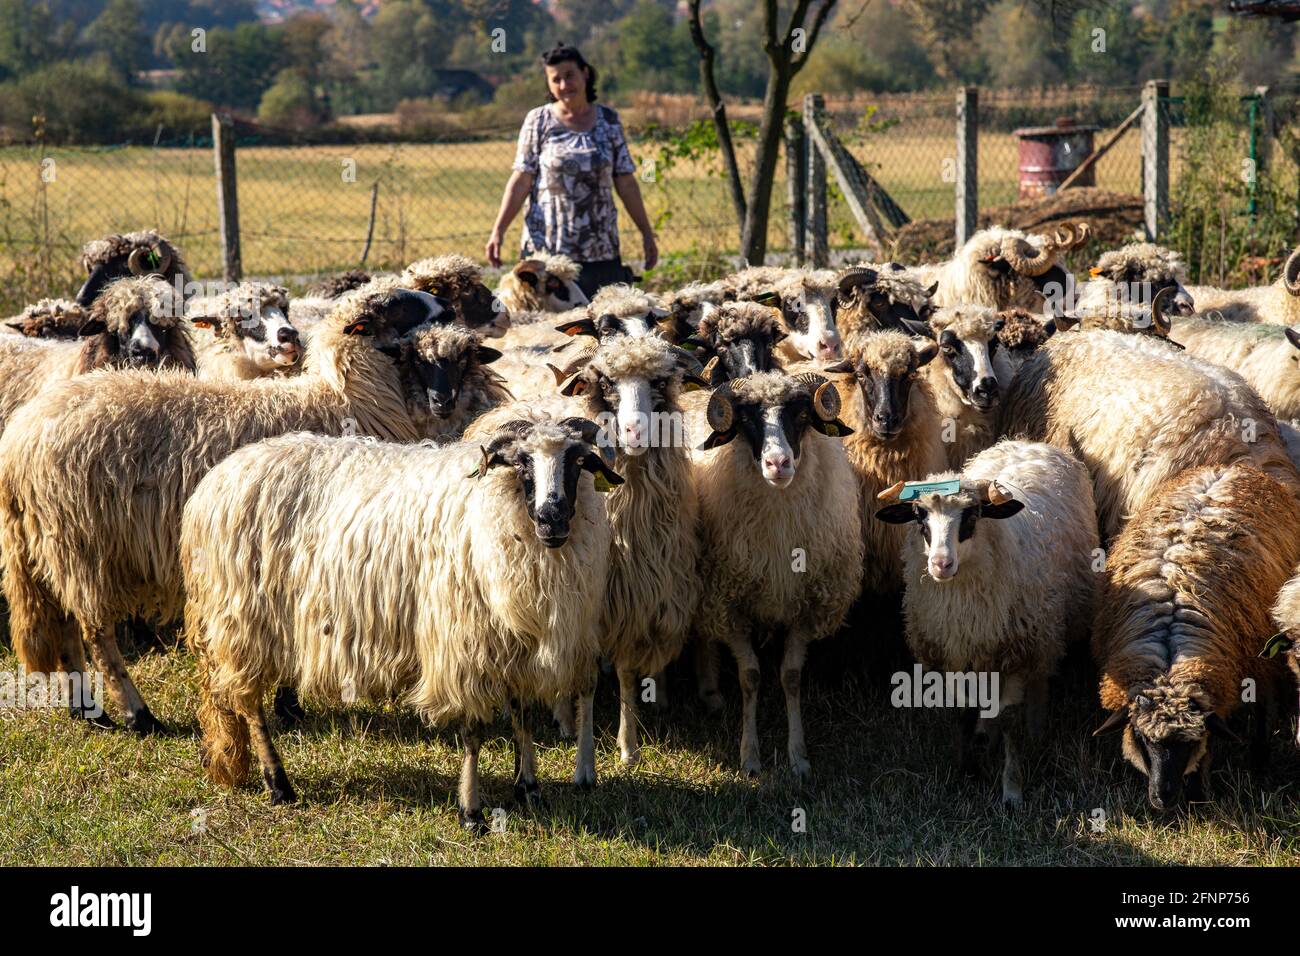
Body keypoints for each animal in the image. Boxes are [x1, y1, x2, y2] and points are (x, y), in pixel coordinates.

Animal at [186, 414, 620, 826]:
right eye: (521, 463)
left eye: (578, 462)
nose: (552, 518)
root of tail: (217, 478)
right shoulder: (462, 644)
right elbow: (473, 733)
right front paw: (471, 812)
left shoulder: (515, 643)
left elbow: (523, 719)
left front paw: (528, 788)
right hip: (243, 621)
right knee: (249, 705)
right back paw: (279, 784)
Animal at [692, 371, 863, 777]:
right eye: (745, 421)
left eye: (800, 416)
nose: (778, 464)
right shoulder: (729, 605)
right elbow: (750, 677)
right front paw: (750, 756)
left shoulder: (807, 605)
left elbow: (791, 676)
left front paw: (798, 757)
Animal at [874, 439, 1099, 806]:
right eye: (920, 518)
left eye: (972, 516)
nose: (940, 564)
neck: (963, 603)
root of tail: (1027, 443)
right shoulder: (954, 654)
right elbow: (962, 711)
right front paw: (967, 771)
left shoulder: (1016, 652)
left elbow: (1009, 719)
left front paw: (1011, 789)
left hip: (1048, 628)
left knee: (1041, 678)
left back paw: (1036, 732)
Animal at [1091, 461, 1300, 809]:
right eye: (1144, 739)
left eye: (1188, 743)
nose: (1163, 799)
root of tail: (1231, 467)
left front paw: (1199, 796)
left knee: (1265, 702)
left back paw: (1259, 760)